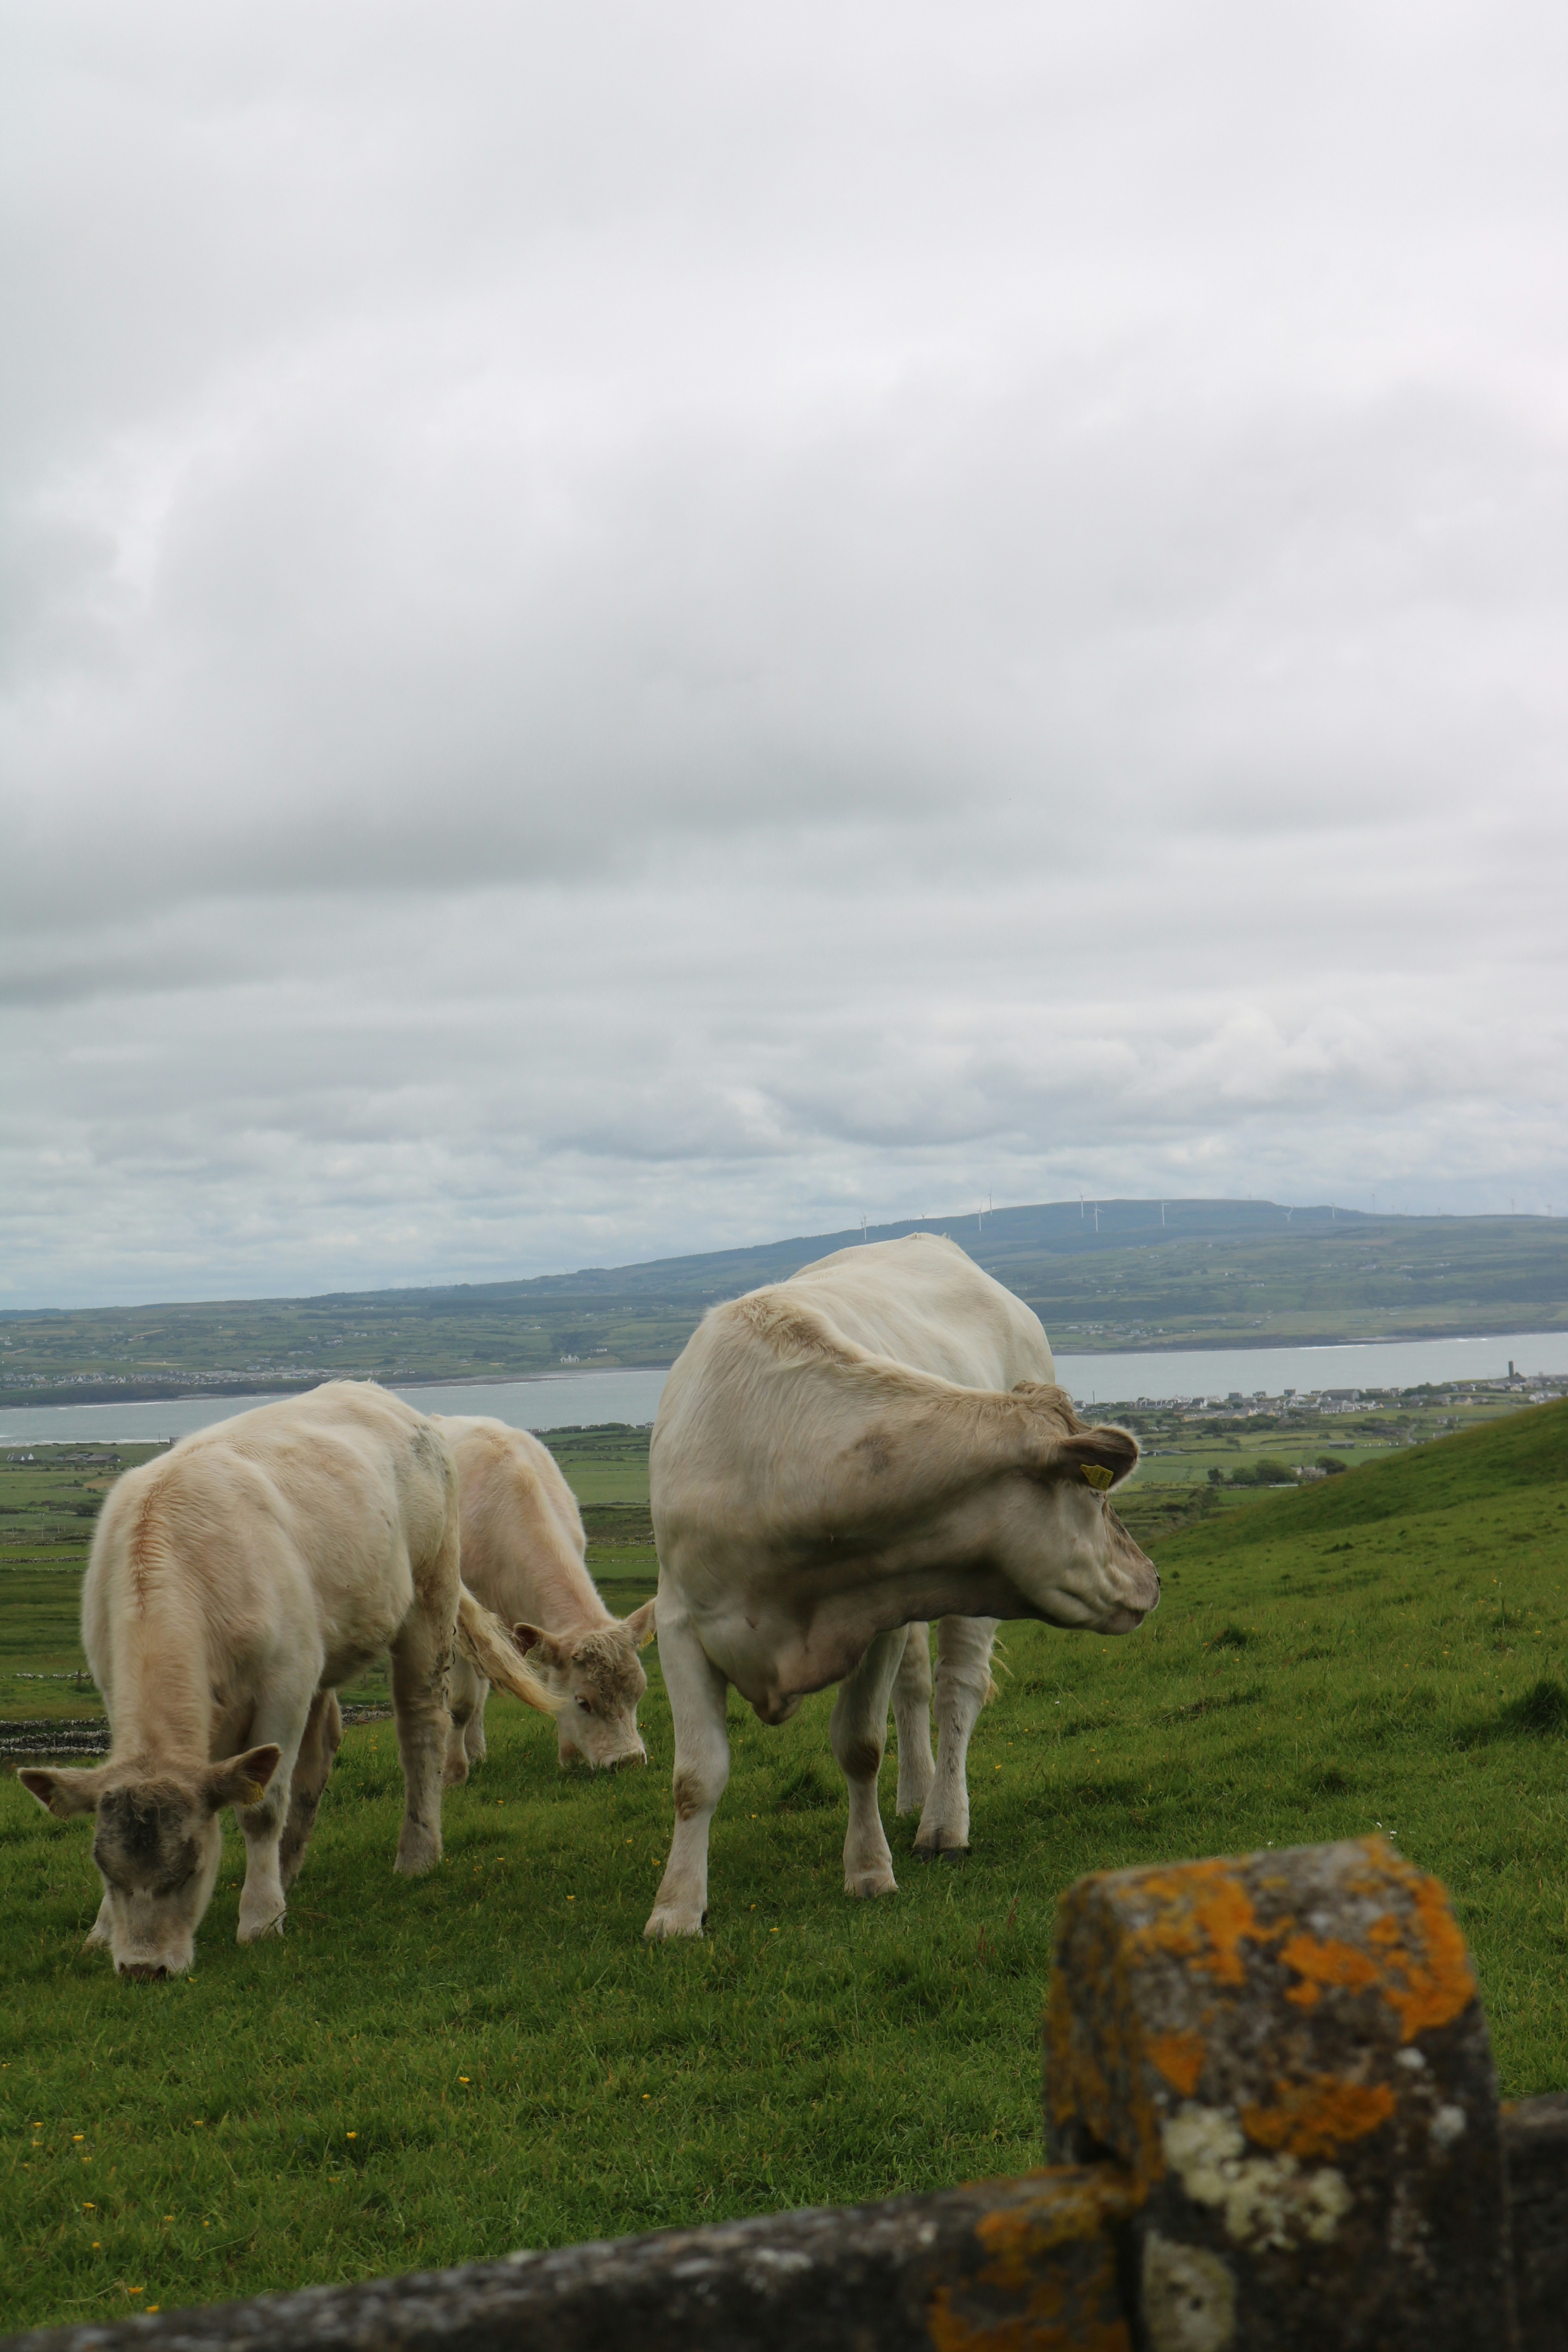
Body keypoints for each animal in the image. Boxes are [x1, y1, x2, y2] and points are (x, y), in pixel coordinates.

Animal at [19, 1382, 559, 1979]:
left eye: (191, 1868)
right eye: (106, 1872)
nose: (144, 1968)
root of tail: (384, 1398)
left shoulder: (285, 1682)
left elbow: (262, 1809)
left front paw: (259, 1918)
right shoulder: (115, 1689)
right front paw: (101, 1931)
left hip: (429, 1592)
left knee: (422, 1727)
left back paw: (416, 1853)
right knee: (320, 1756)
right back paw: (289, 1869)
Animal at [431, 1416, 656, 1779]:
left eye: (639, 1692)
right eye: (583, 1702)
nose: (629, 1761)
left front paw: (569, 1756)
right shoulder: (462, 1625)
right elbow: (461, 1703)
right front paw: (453, 1773)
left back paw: (477, 1751)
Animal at [643, 1233, 1159, 1939]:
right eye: (1095, 1495)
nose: (1151, 1578)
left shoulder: (872, 1619)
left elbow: (860, 1746)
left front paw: (868, 1870)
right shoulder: (680, 1621)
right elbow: (696, 1776)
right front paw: (676, 1908)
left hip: (968, 1588)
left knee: (956, 1690)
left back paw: (943, 1824)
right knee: (915, 1689)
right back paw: (916, 1794)